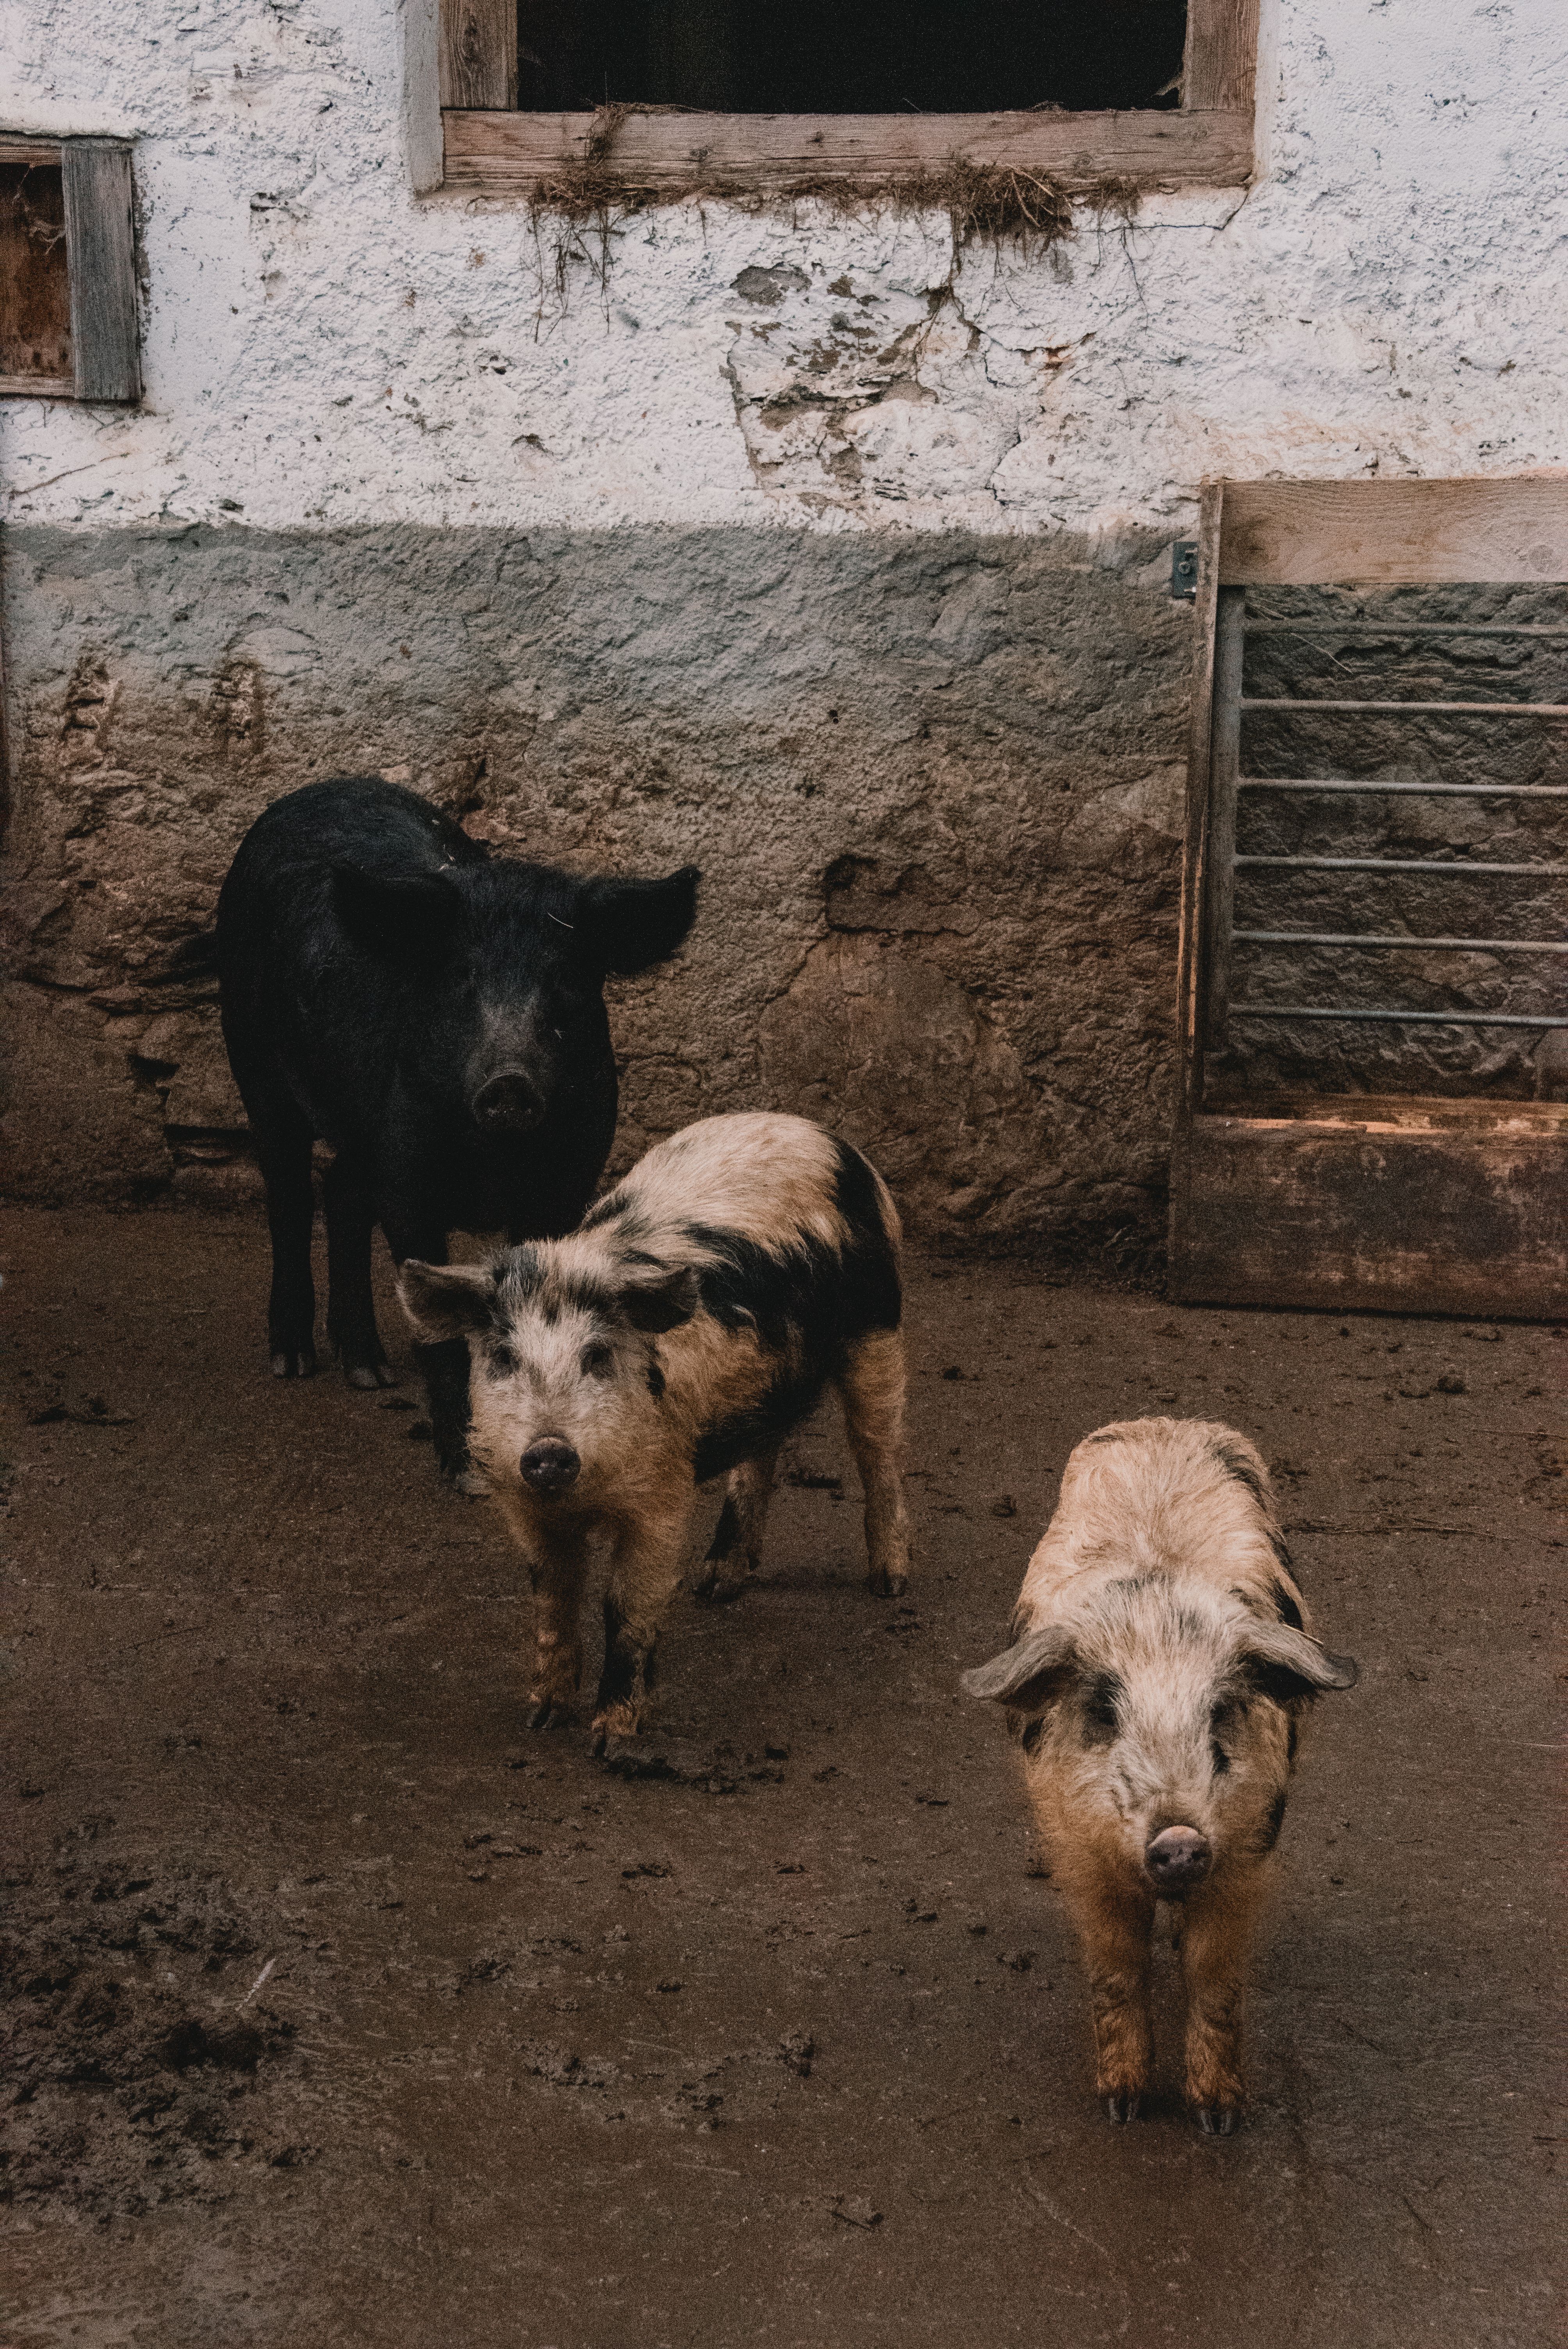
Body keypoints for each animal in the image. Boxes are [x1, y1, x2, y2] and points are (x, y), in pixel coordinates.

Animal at [216, 777, 699, 1483]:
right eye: (463, 976)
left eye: (567, 978)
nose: (509, 1084)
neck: (492, 1163)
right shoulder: (408, 1175)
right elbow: (439, 1329)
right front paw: (466, 1475)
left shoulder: (567, 1177)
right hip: (253, 1060)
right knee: (290, 1191)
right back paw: (294, 1361)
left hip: (361, 1126)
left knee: (343, 1189)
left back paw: (369, 1372)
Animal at [395, 1112, 911, 1748]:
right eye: (503, 1357)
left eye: (596, 1355)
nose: (548, 1449)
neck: (582, 1495)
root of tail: (817, 1132)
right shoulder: (524, 1504)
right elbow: (553, 1598)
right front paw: (541, 1717)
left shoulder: (661, 1497)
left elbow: (626, 1605)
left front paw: (610, 1740)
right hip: (768, 1377)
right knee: (760, 1454)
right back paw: (715, 1587)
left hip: (878, 1324)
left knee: (878, 1448)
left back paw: (888, 1583)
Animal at [962, 1418, 1357, 2134]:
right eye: (1102, 1711)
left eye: (1220, 1710)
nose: (1178, 1839)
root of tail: (1166, 1423)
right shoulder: (1077, 1853)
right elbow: (1116, 1966)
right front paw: (1123, 2107)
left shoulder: (1249, 1850)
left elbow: (1214, 1974)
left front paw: (1218, 2120)